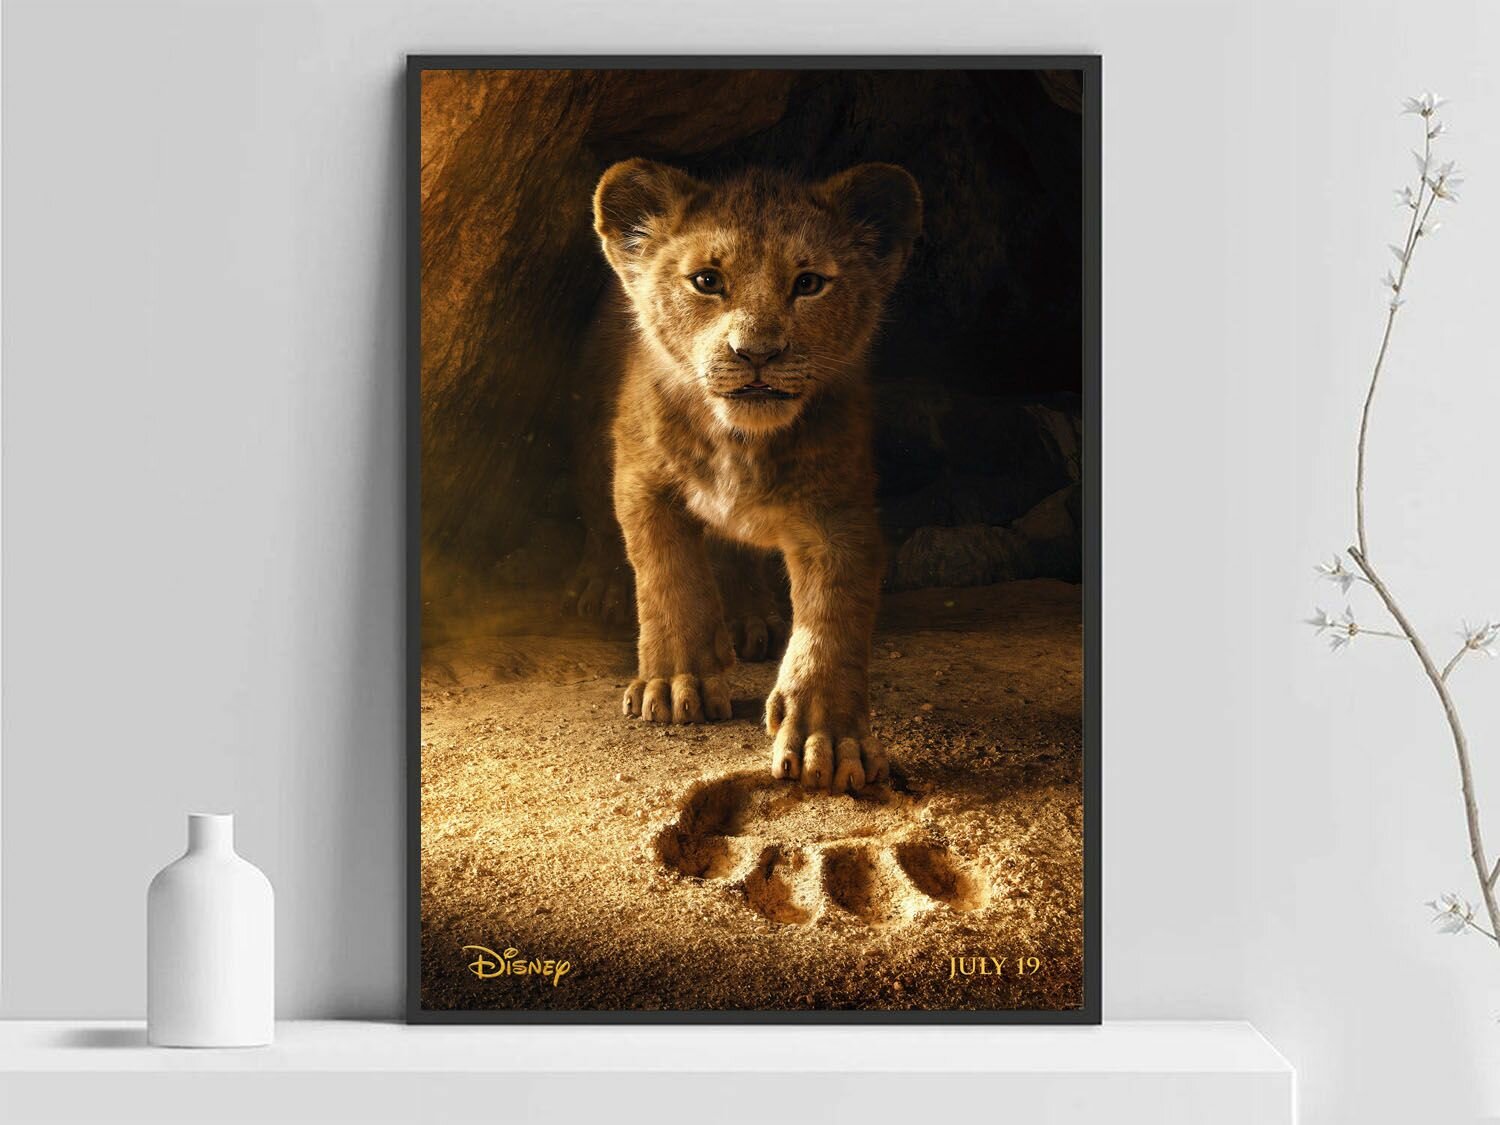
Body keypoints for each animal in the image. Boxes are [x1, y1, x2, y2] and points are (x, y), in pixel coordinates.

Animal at [588, 158, 922, 792]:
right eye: (706, 281)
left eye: (809, 283)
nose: (757, 353)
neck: (740, 441)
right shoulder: (642, 481)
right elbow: (669, 578)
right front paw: (677, 683)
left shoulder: (838, 512)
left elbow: (831, 619)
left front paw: (828, 738)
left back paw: (751, 620)